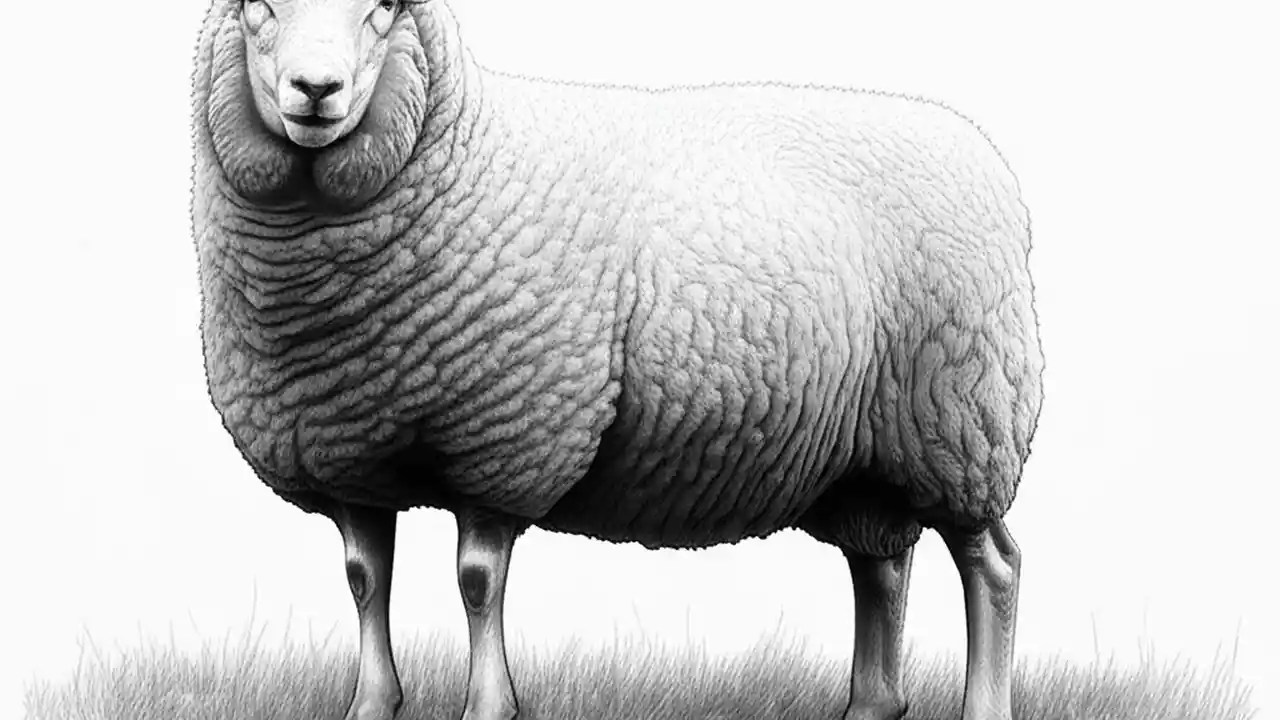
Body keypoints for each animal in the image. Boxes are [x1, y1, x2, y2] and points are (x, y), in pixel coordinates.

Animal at [189, 1, 1045, 719]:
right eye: (261, 9)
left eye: (382, 10)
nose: (316, 90)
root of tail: (986, 155)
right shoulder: (350, 455)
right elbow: (366, 581)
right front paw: (370, 705)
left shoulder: (508, 437)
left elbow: (477, 582)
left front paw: (489, 706)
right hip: (866, 456)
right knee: (881, 568)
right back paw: (871, 704)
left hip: (961, 422)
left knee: (993, 565)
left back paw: (983, 706)